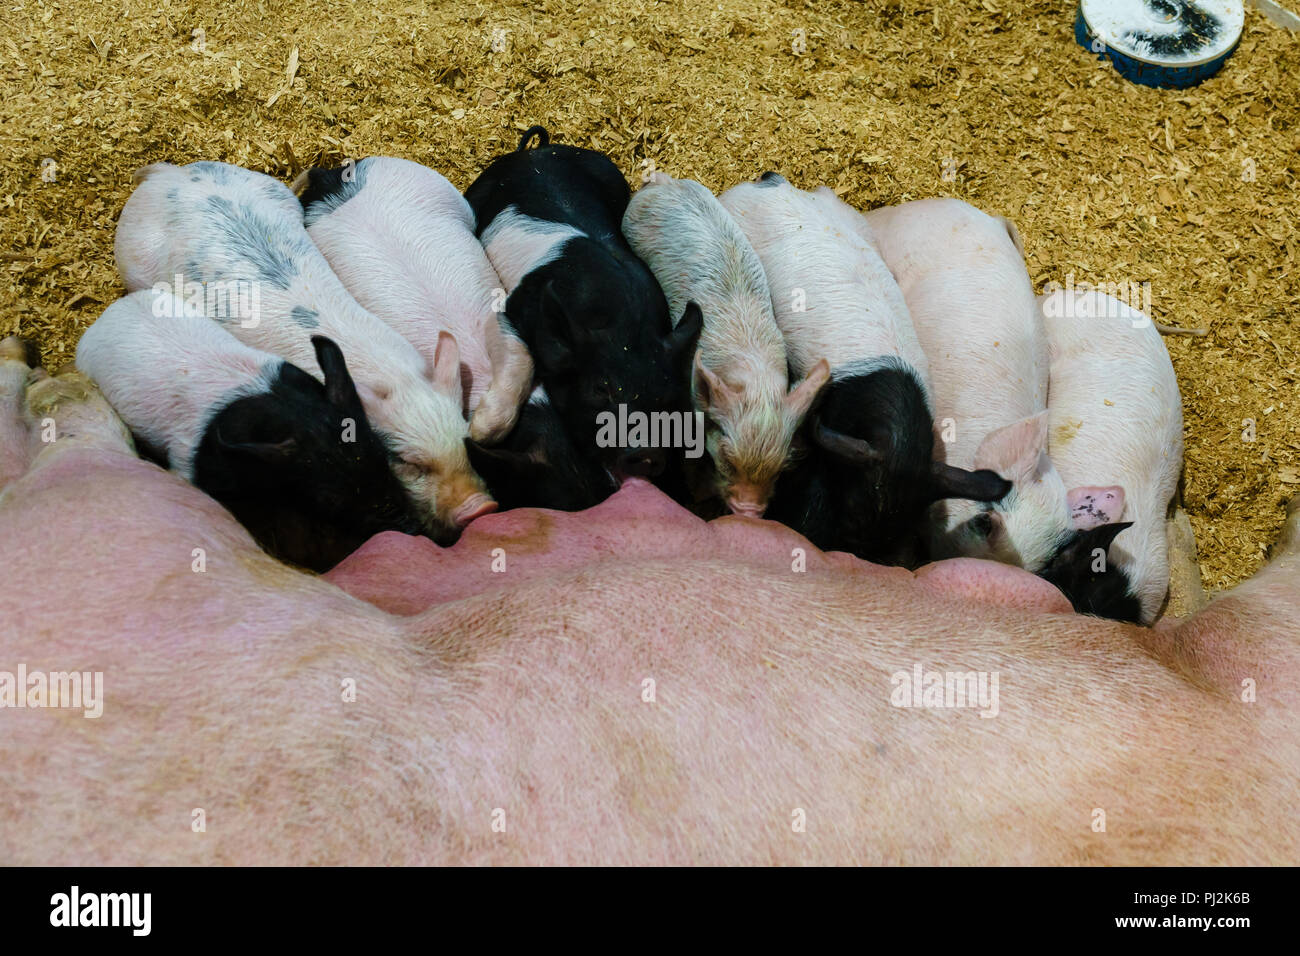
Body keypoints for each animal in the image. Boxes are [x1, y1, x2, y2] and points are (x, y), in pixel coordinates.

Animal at [464, 126, 702, 480]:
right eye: (601, 389)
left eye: (667, 398)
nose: (646, 454)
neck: (623, 327)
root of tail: (537, 151)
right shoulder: (513, 305)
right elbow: (522, 356)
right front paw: (480, 433)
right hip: (479, 189)